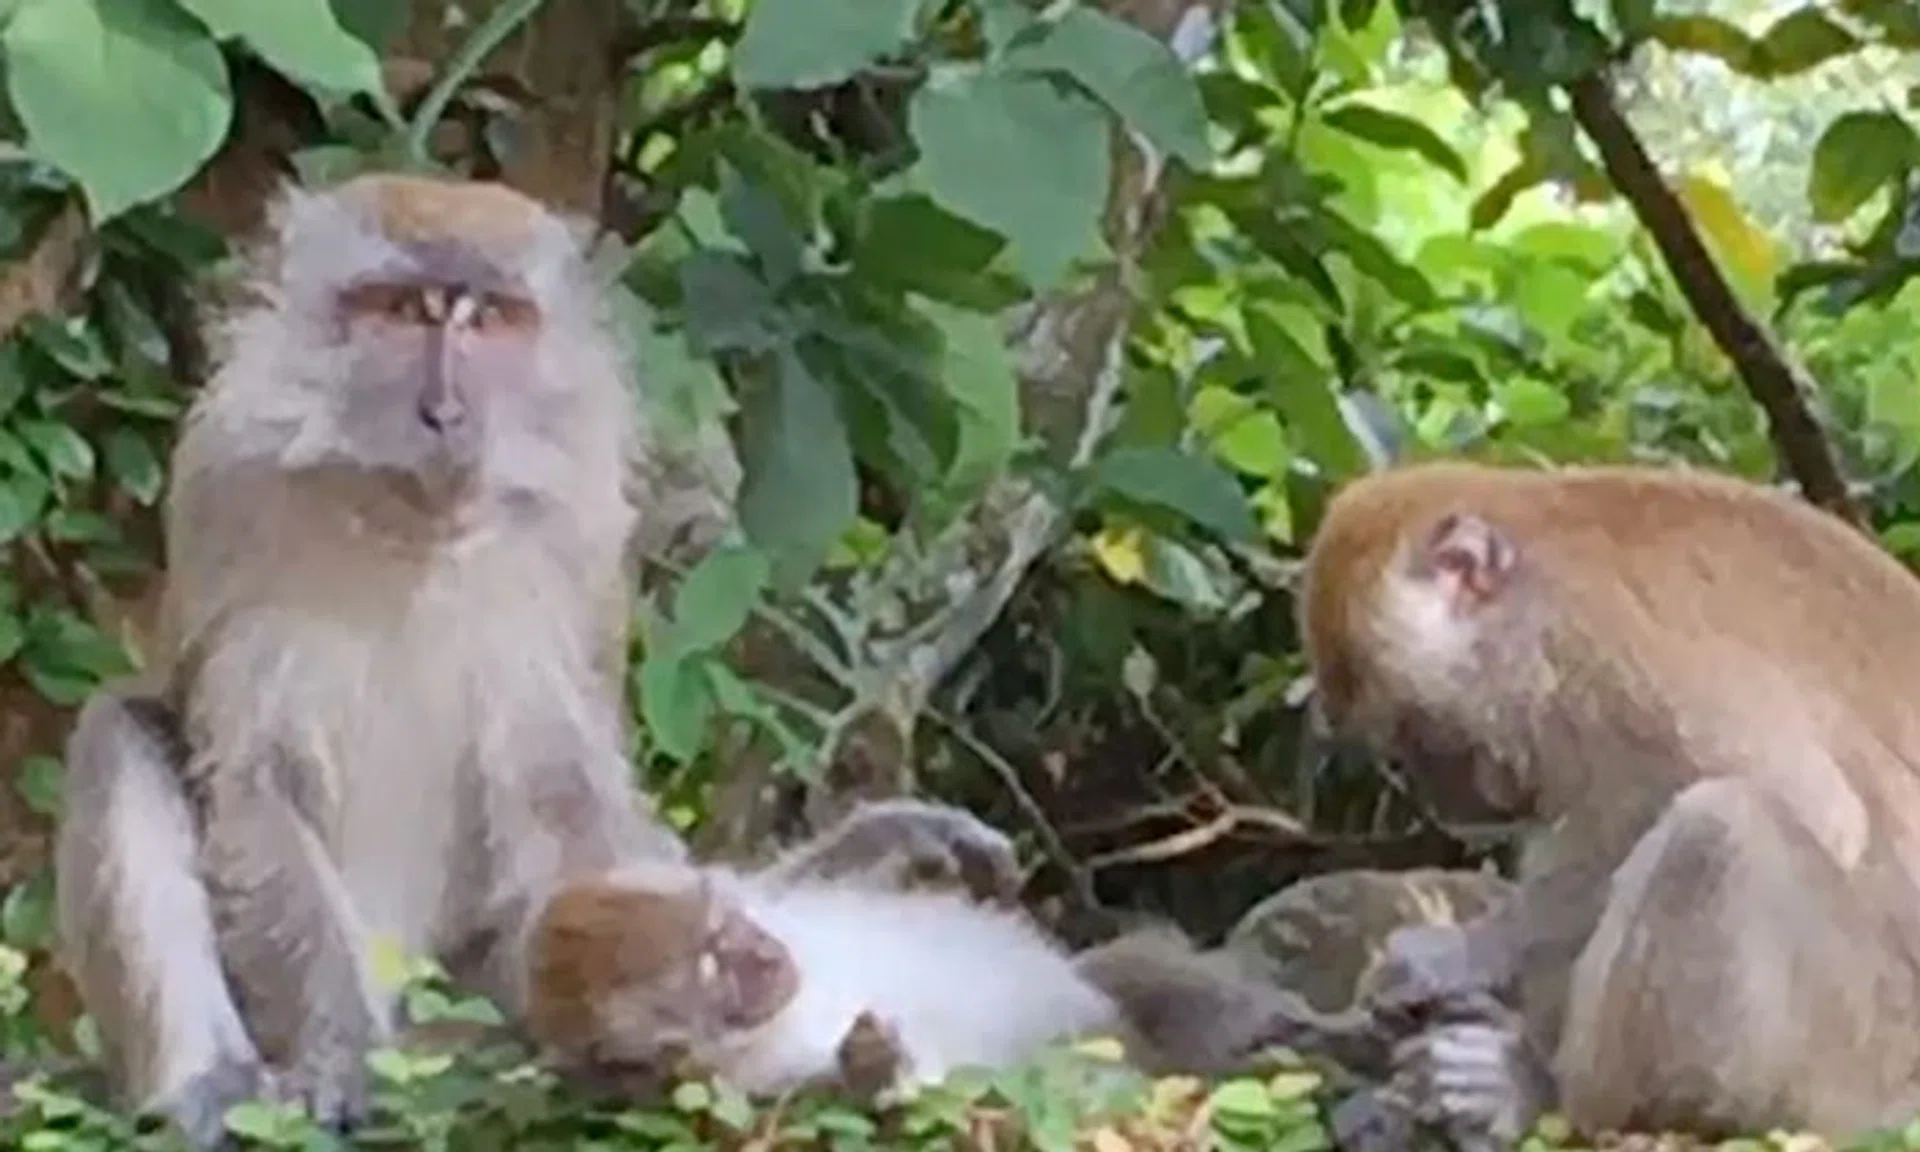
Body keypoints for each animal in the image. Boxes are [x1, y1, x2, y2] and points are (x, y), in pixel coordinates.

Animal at [50, 172, 1030, 1148]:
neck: (415, 531)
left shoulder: (581, 532)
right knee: (118, 730)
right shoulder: (228, 487)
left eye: (490, 319)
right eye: (400, 310)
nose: (446, 414)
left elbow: (561, 793)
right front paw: (338, 1057)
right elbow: (256, 783)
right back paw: (207, 1089)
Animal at [1297, 458, 1920, 1148]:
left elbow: (1814, 805)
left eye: (1409, 732)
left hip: (1860, 1054)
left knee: (1719, 830)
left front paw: (1457, 957)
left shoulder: (1617, 655)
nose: (1437, 796)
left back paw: (1542, 1094)